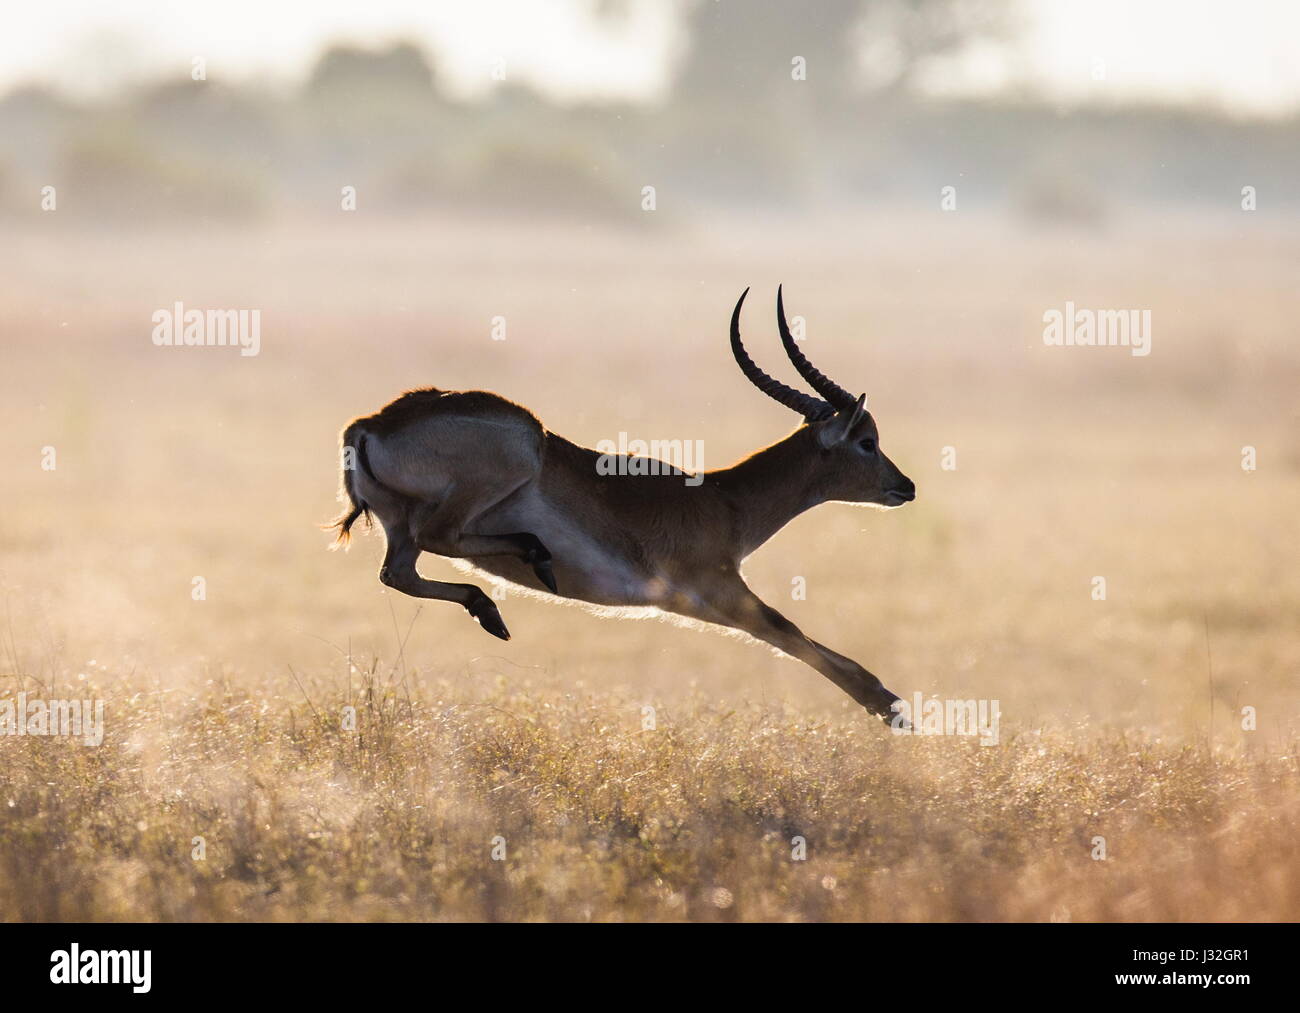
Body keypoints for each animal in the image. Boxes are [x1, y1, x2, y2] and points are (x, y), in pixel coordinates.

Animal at [330, 288, 915, 721]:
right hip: (512, 456)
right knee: (440, 539)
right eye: (867, 441)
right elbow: (789, 632)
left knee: (397, 572)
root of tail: (372, 423)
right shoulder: (721, 589)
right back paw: (532, 563)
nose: (905, 487)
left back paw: (493, 609)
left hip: (397, 526)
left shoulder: (697, 604)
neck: (725, 500)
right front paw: (889, 707)